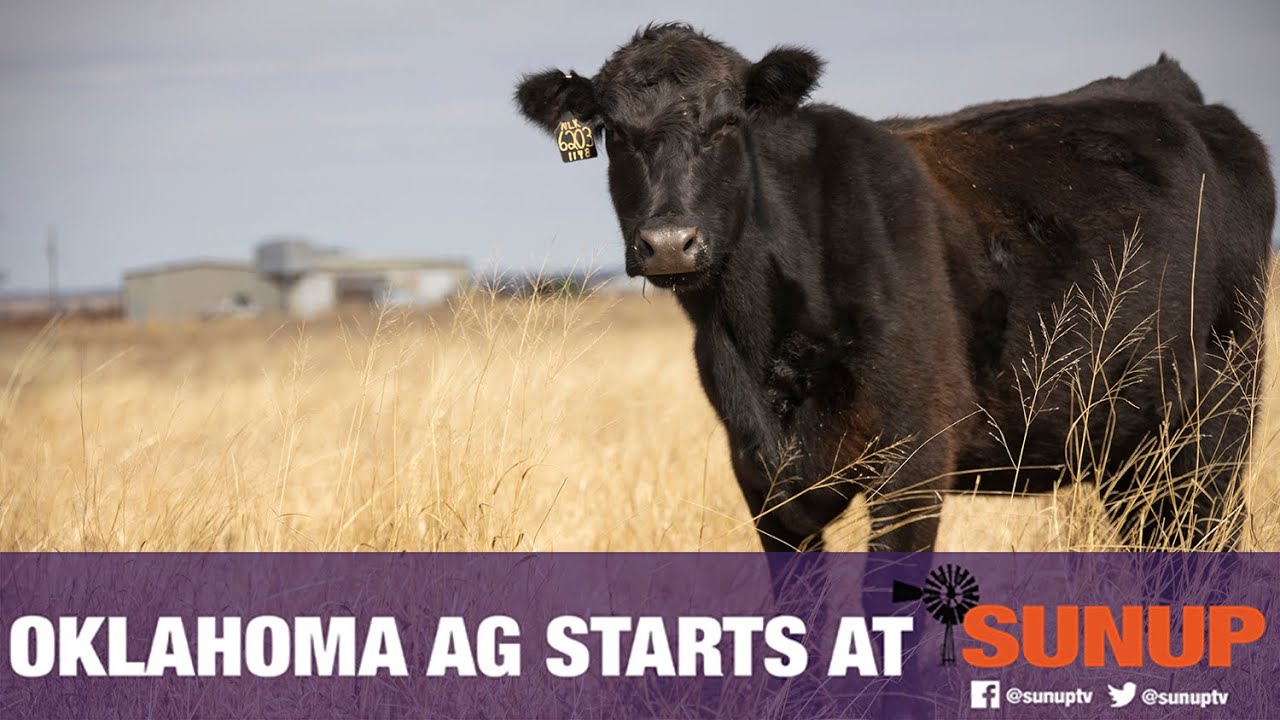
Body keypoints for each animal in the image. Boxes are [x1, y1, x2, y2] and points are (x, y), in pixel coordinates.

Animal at [514, 23, 1275, 554]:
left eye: (728, 122)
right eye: (613, 132)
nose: (670, 242)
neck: (761, 342)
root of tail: (1169, 89)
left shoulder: (914, 460)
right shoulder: (765, 483)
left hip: (1213, 425)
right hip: (1130, 448)